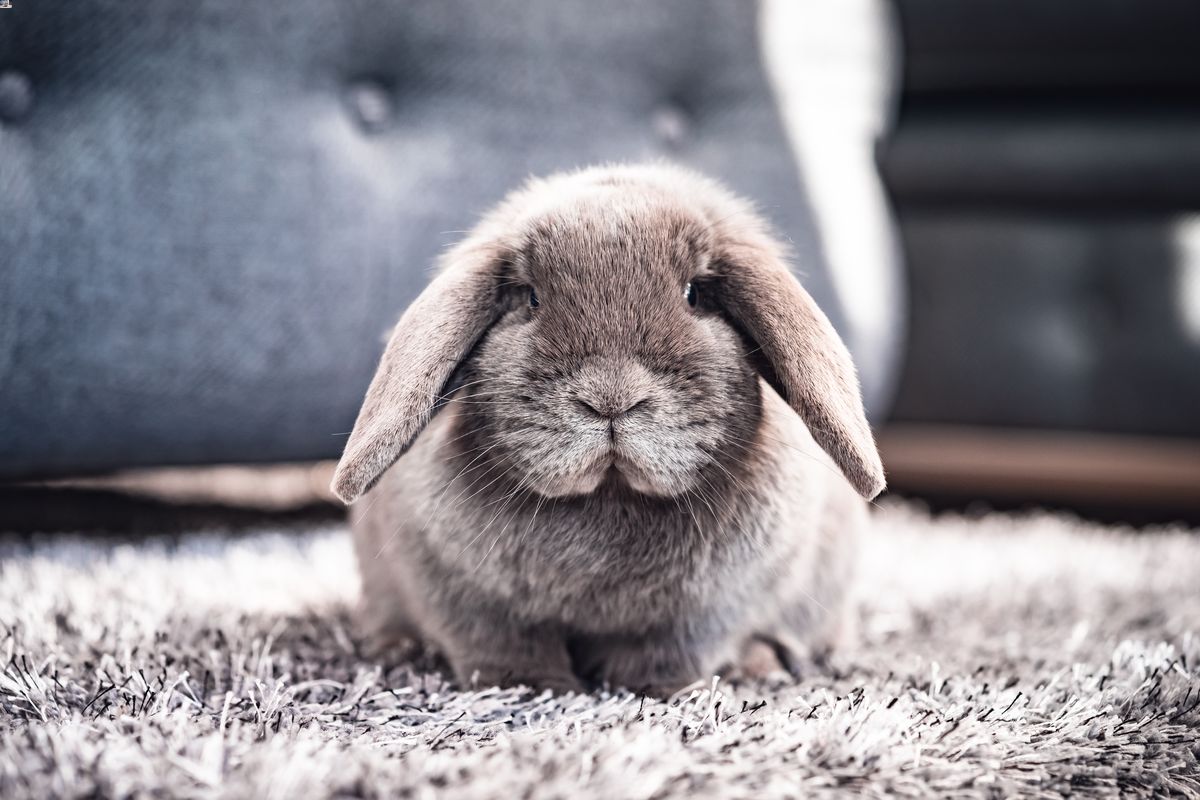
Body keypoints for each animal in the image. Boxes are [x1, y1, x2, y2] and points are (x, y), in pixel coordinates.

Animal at [331, 164, 885, 696]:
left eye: (694, 295)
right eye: (530, 297)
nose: (611, 399)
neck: (610, 494)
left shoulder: (705, 613)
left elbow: (668, 652)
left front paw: (655, 690)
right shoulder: (464, 598)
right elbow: (506, 649)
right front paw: (530, 687)